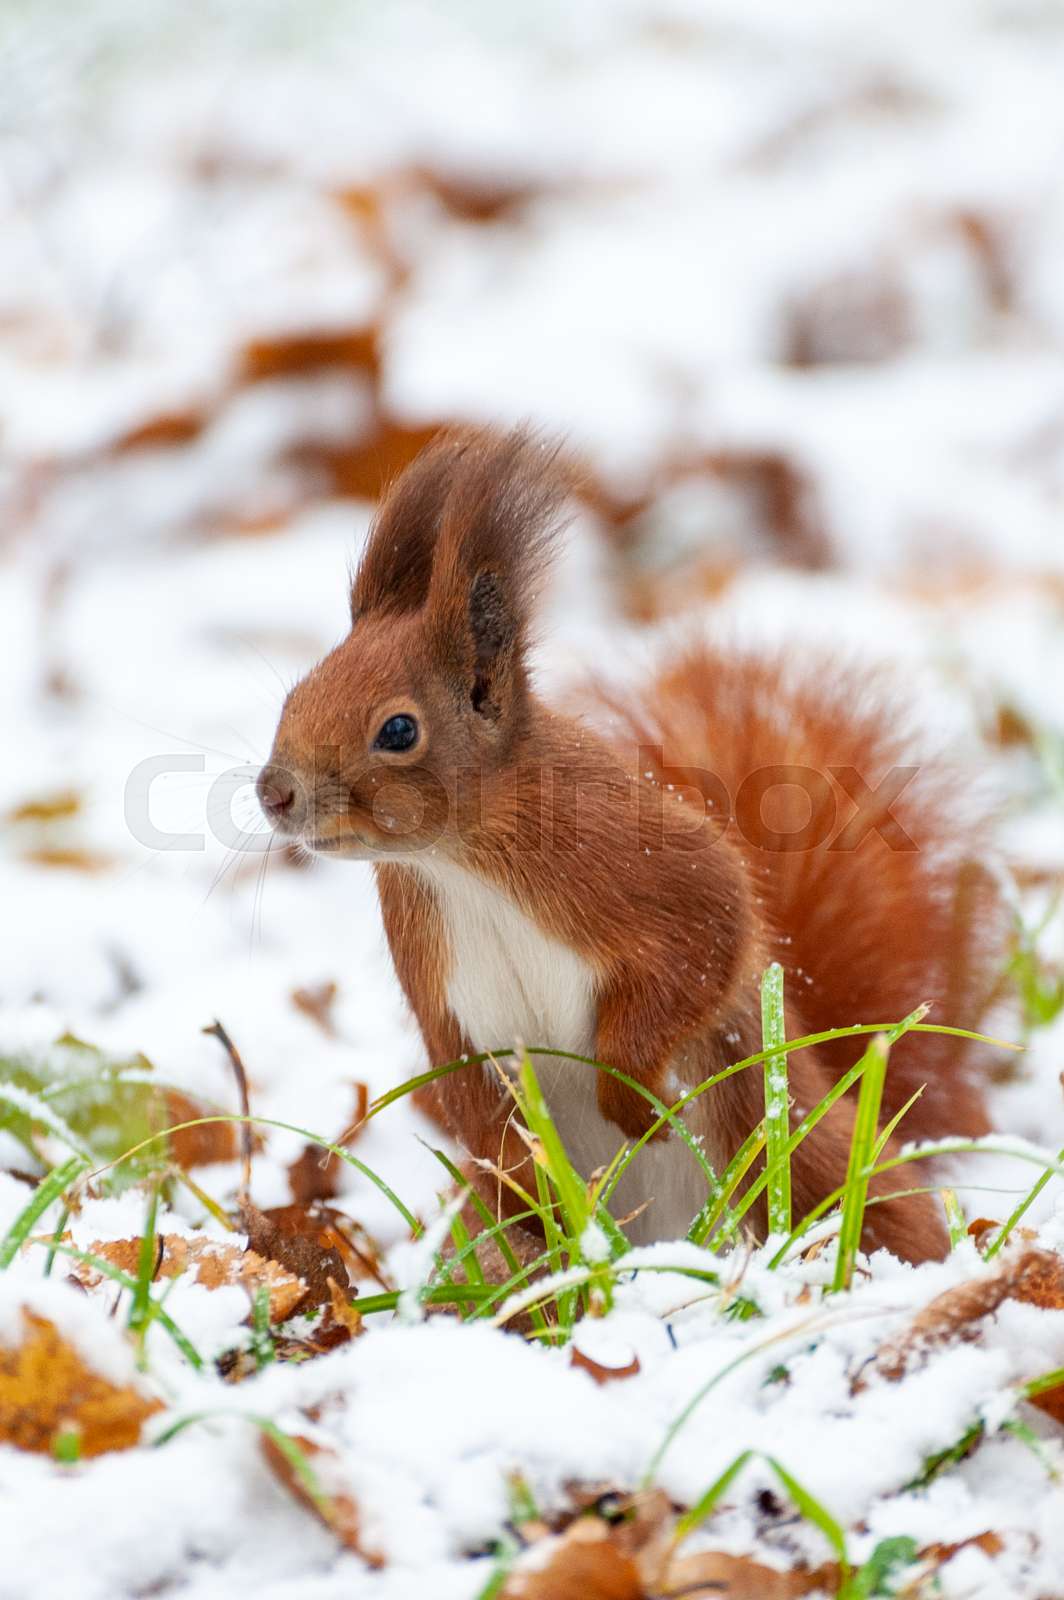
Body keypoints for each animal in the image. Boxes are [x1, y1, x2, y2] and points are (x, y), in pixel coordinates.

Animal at [258, 426, 1006, 1263]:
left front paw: (633, 1100)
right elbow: (465, 1089)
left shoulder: (645, 869)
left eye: (397, 730)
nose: (274, 792)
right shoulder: (440, 991)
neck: (459, 865)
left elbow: (699, 952)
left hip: (812, 1165)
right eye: (296, 695)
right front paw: (524, 1176)